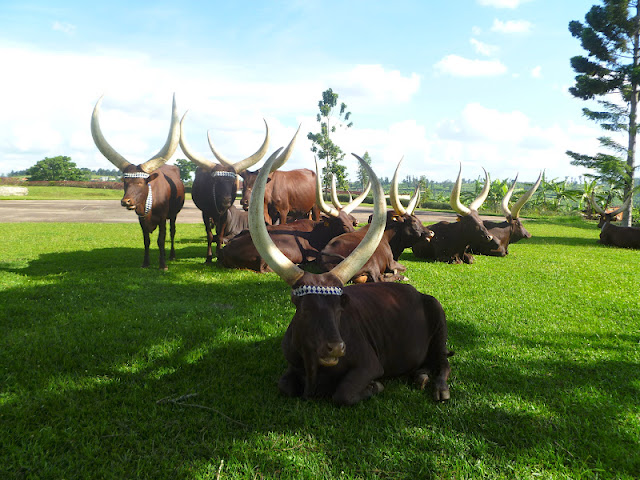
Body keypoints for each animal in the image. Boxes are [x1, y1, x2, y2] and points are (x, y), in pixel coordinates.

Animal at [91, 94, 185, 270]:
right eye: (125, 182)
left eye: (142, 182)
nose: (126, 201)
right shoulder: (141, 220)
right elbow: (146, 241)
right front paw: (145, 263)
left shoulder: (163, 218)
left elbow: (161, 240)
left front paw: (163, 265)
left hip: (174, 214)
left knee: (173, 231)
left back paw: (172, 255)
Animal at [248, 151, 453, 405]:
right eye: (304, 309)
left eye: (339, 309)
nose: (336, 348)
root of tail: (418, 294)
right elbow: (285, 386)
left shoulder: (369, 366)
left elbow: (343, 394)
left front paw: (374, 386)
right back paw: (421, 376)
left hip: (439, 323)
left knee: (443, 361)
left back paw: (439, 387)